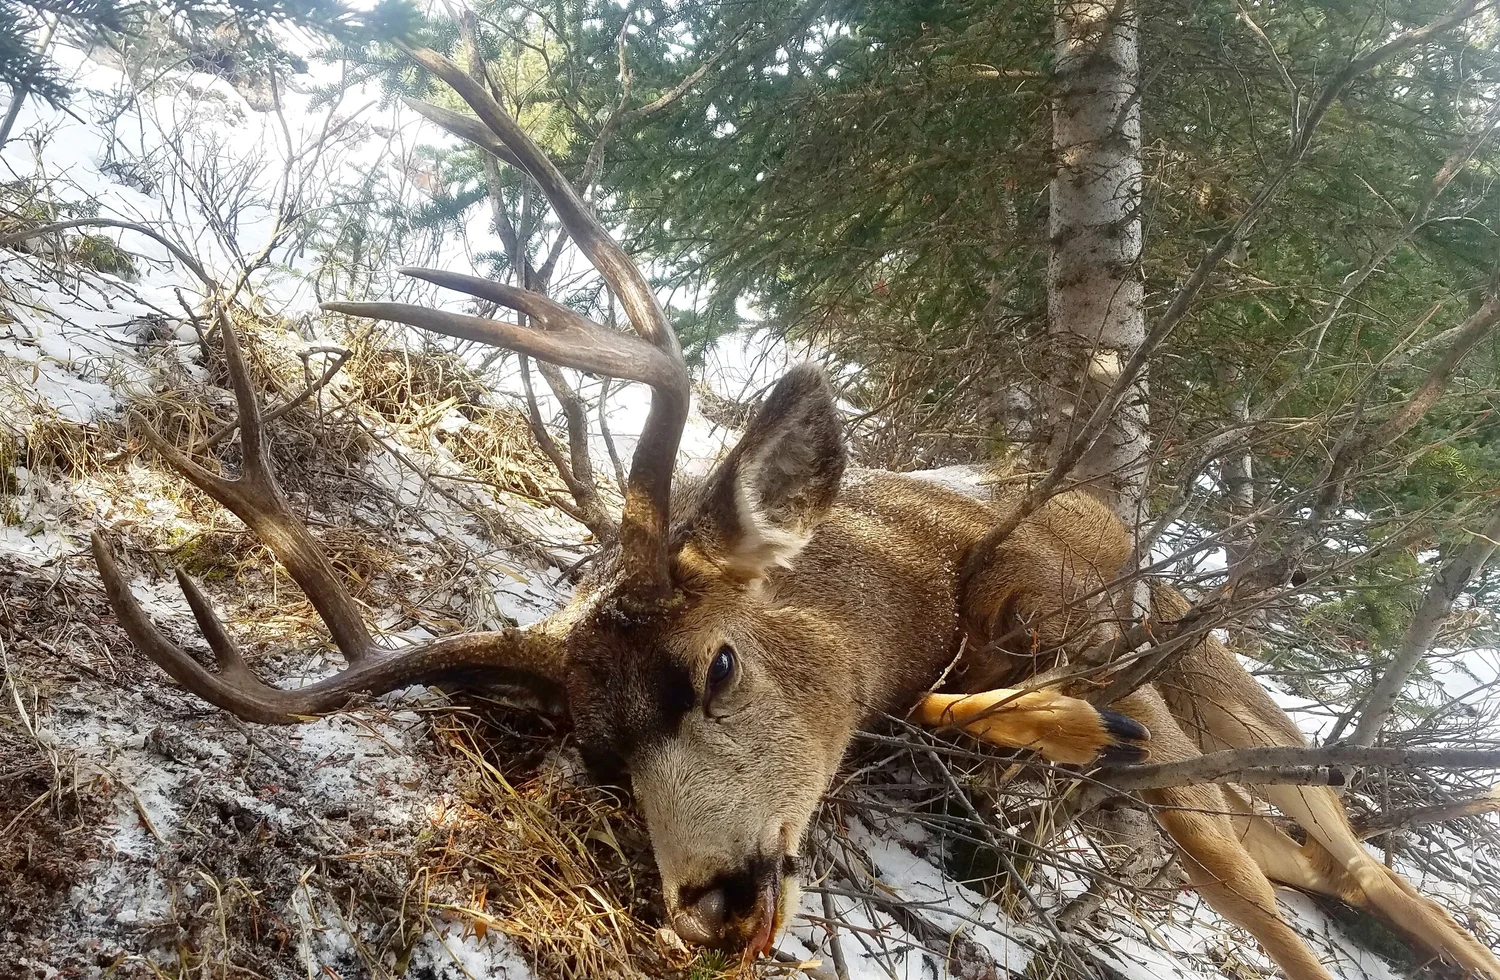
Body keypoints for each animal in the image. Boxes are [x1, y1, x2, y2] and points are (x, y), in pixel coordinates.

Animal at [89, 45, 1500, 980]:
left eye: (718, 664)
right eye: (595, 747)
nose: (711, 896)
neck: (907, 587)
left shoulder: (1076, 600)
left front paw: (1072, 719)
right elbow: (954, 714)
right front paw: (1050, 725)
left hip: (1239, 698)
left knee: (1354, 862)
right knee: (1323, 877)